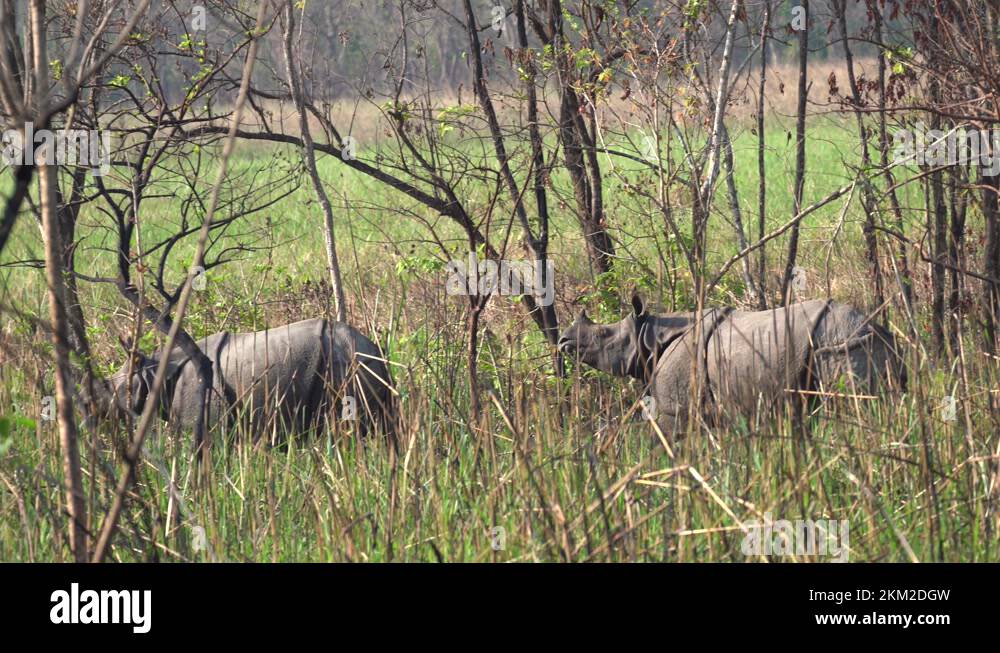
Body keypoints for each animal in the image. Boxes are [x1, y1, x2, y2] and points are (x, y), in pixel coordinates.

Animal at [558, 295, 904, 434]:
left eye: (603, 334)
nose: (563, 340)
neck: (649, 336)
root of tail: (873, 328)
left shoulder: (677, 409)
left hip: (840, 346)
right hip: (862, 343)